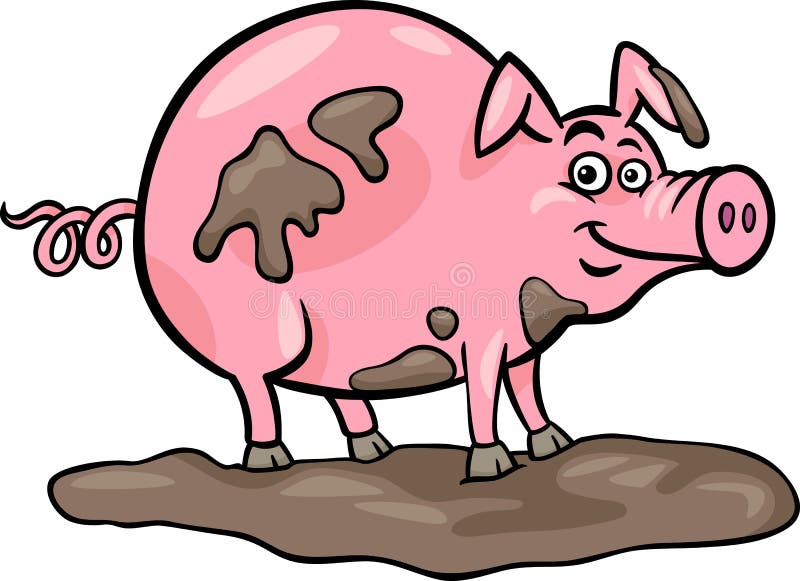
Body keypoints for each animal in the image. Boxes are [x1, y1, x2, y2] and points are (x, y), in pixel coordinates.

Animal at [1, 3, 774, 479]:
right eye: (590, 173)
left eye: (646, 161)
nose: (736, 193)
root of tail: (145, 193)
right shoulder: (479, 323)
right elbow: (483, 391)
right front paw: (493, 467)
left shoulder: (527, 335)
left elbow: (527, 384)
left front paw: (556, 444)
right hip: (260, 326)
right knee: (255, 385)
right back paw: (271, 461)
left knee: (333, 387)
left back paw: (373, 451)